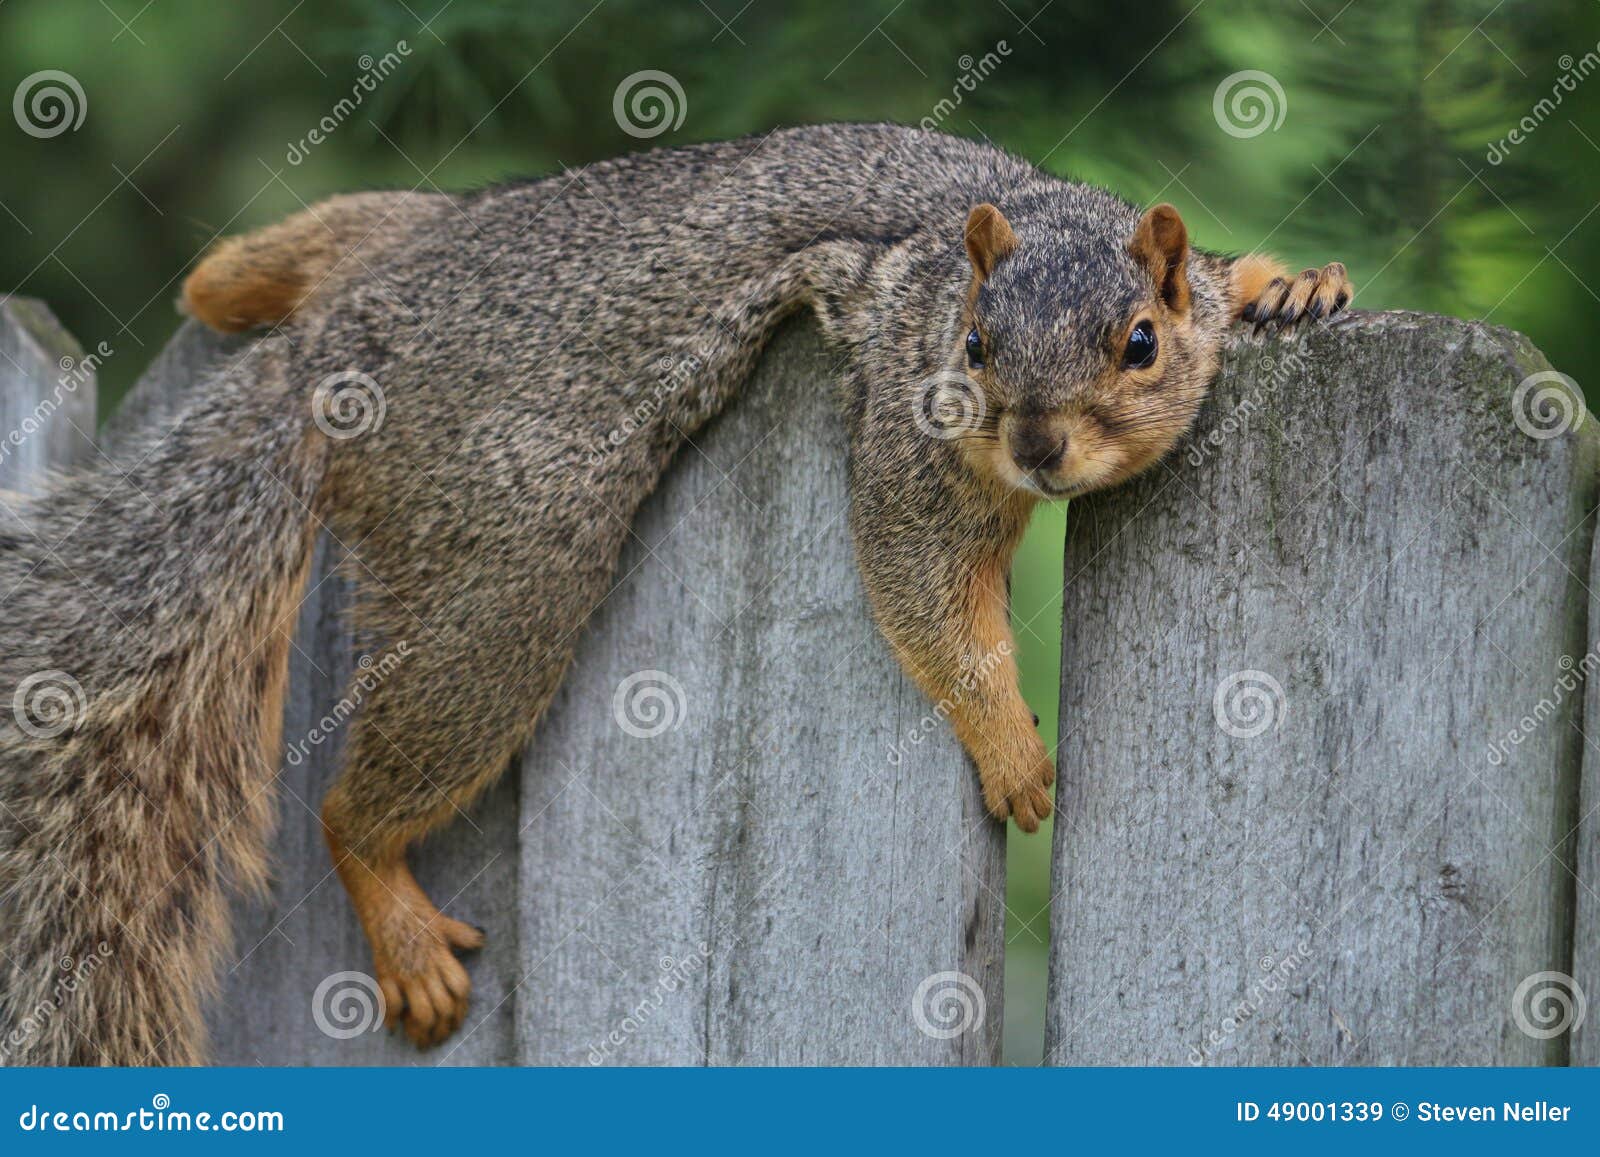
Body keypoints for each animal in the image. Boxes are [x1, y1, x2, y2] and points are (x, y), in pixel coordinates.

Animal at [0, 123, 1349, 1064]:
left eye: (1139, 342)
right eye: (972, 348)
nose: (1034, 448)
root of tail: (333, 352)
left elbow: (1223, 279)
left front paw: (1294, 283)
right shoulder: (907, 432)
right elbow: (919, 583)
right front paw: (1010, 747)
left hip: (399, 243)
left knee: (275, 260)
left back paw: (223, 281)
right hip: (514, 568)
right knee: (363, 796)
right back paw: (393, 900)